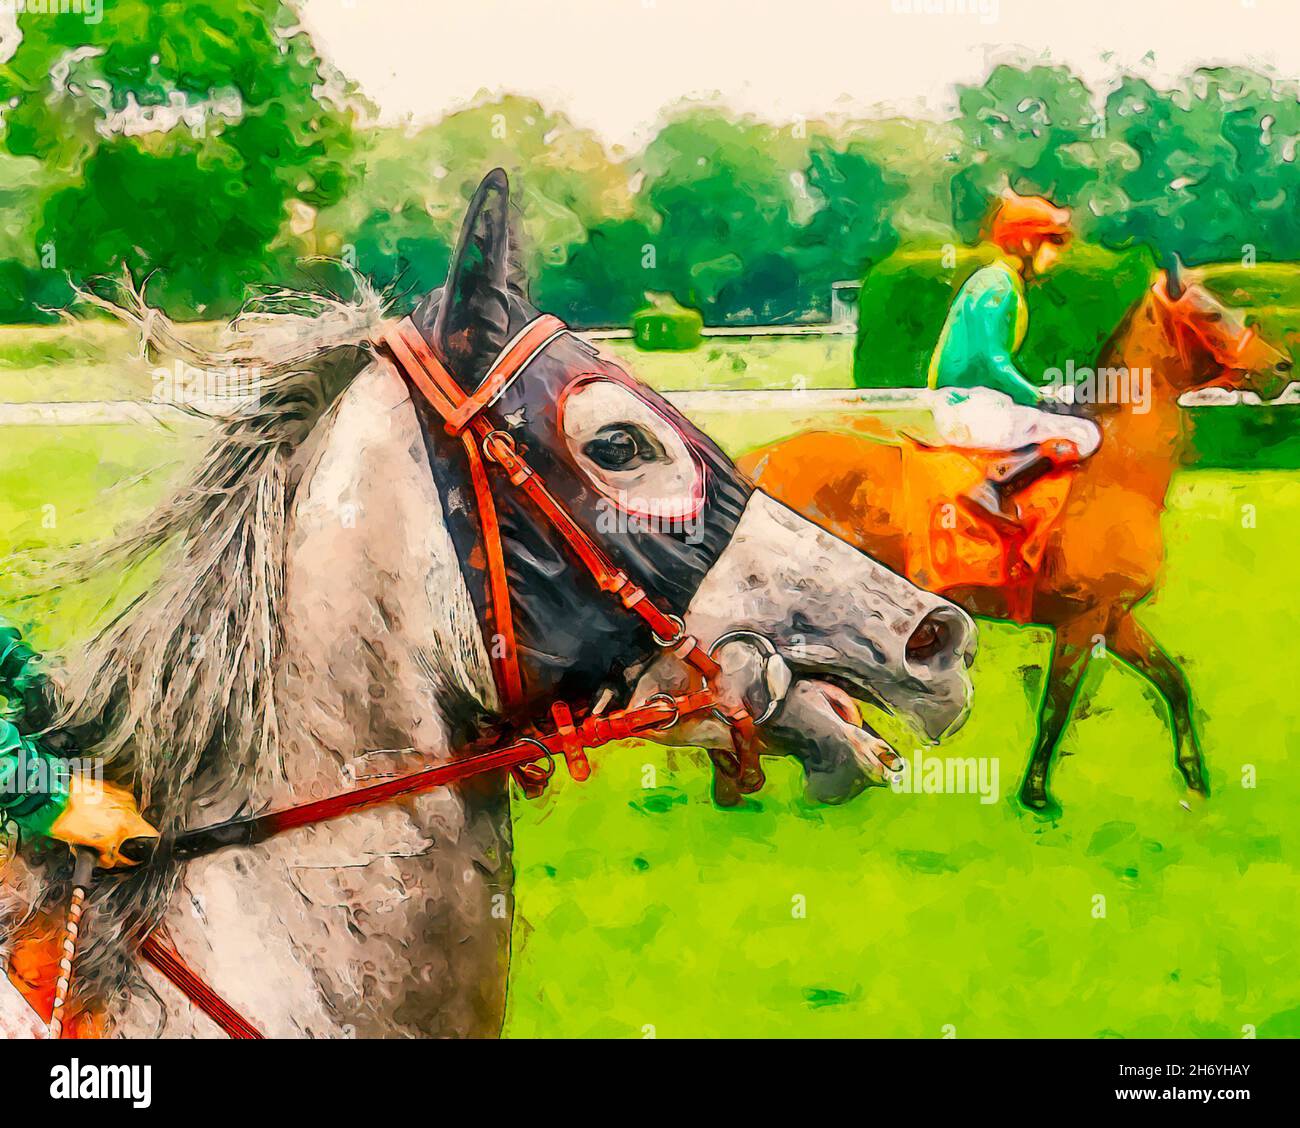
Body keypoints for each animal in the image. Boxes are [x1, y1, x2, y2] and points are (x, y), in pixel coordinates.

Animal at [740, 262, 1292, 815]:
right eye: (1211, 314)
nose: (1283, 366)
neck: (1118, 472)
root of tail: (754, 459)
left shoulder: (1114, 617)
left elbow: (1174, 681)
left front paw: (1196, 779)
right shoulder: (1082, 620)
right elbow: (1056, 706)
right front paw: (1037, 795)